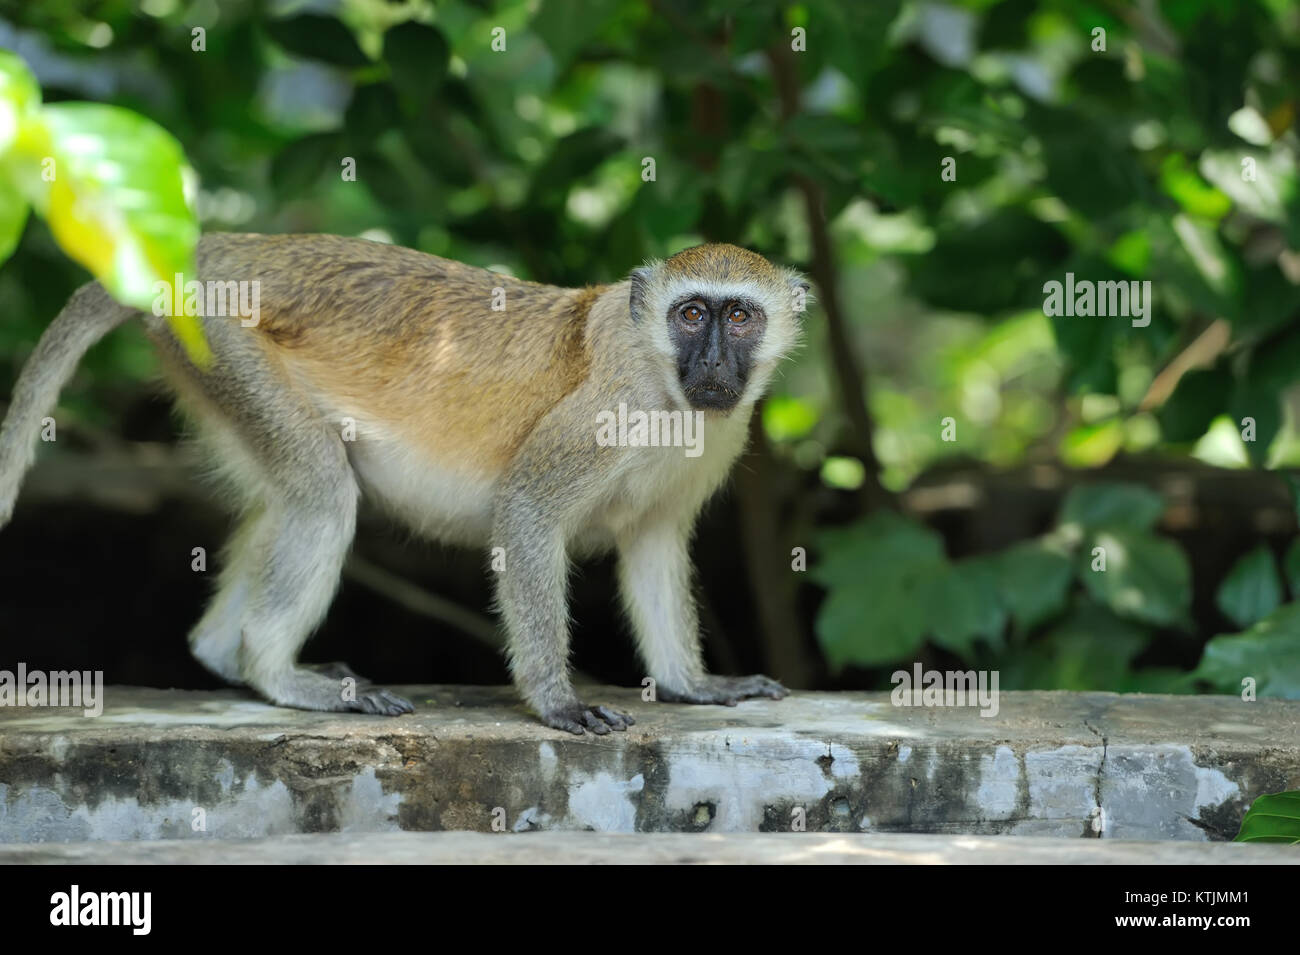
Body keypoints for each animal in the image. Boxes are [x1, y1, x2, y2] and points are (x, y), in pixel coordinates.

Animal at [0, 235, 806, 733]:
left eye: (739, 317)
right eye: (692, 313)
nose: (712, 365)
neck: (666, 383)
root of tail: (223, 248)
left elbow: (653, 539)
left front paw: (695, 685)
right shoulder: (610, 412)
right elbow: (528, 511)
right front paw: (555, 702)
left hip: (205, 356)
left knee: (290, 493)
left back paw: (226, 654)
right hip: (222, 338)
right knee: (322, 490)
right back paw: (274, 671)